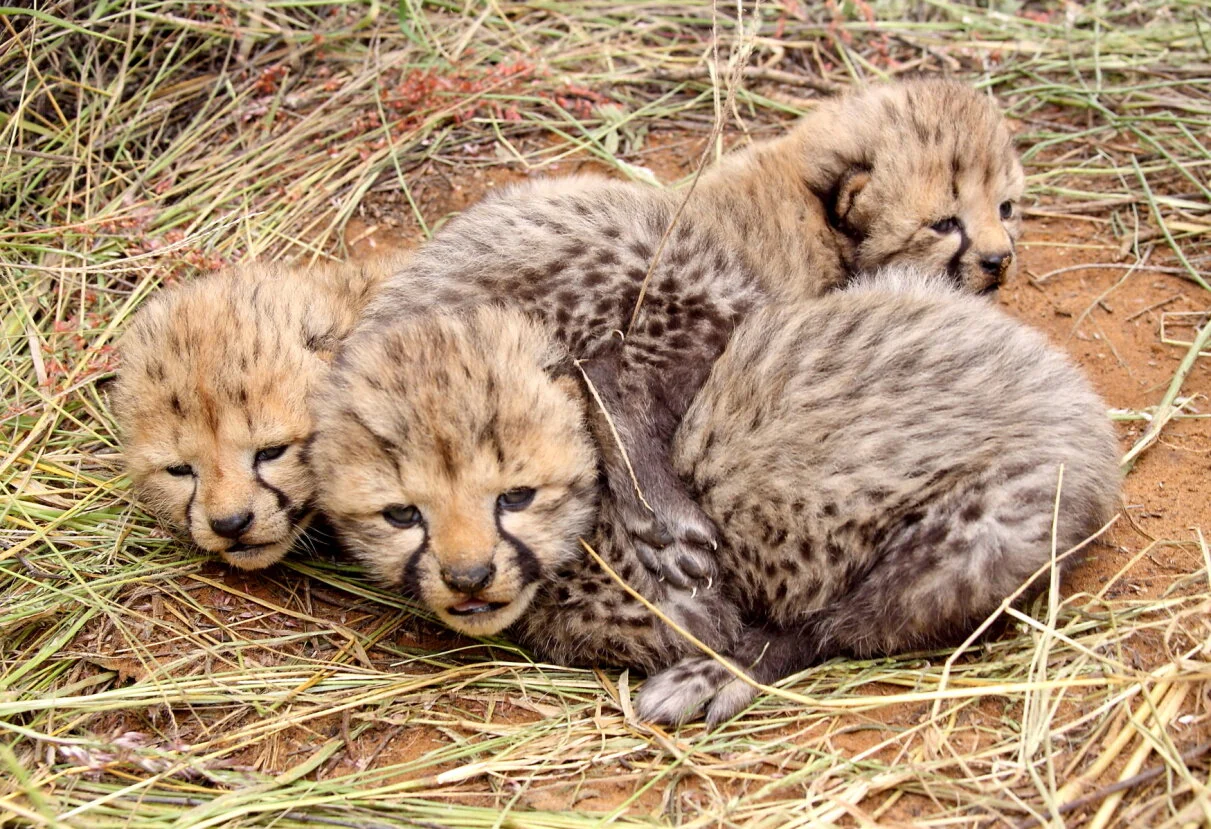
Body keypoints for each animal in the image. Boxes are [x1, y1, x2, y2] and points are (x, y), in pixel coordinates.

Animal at [311, 268, 1120, 724]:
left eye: (515, 497)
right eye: (401, 514)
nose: (469, 578)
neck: (589, 539)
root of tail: (1072, 394)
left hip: (983, 530)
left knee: (836, 626)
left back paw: (713, 678)